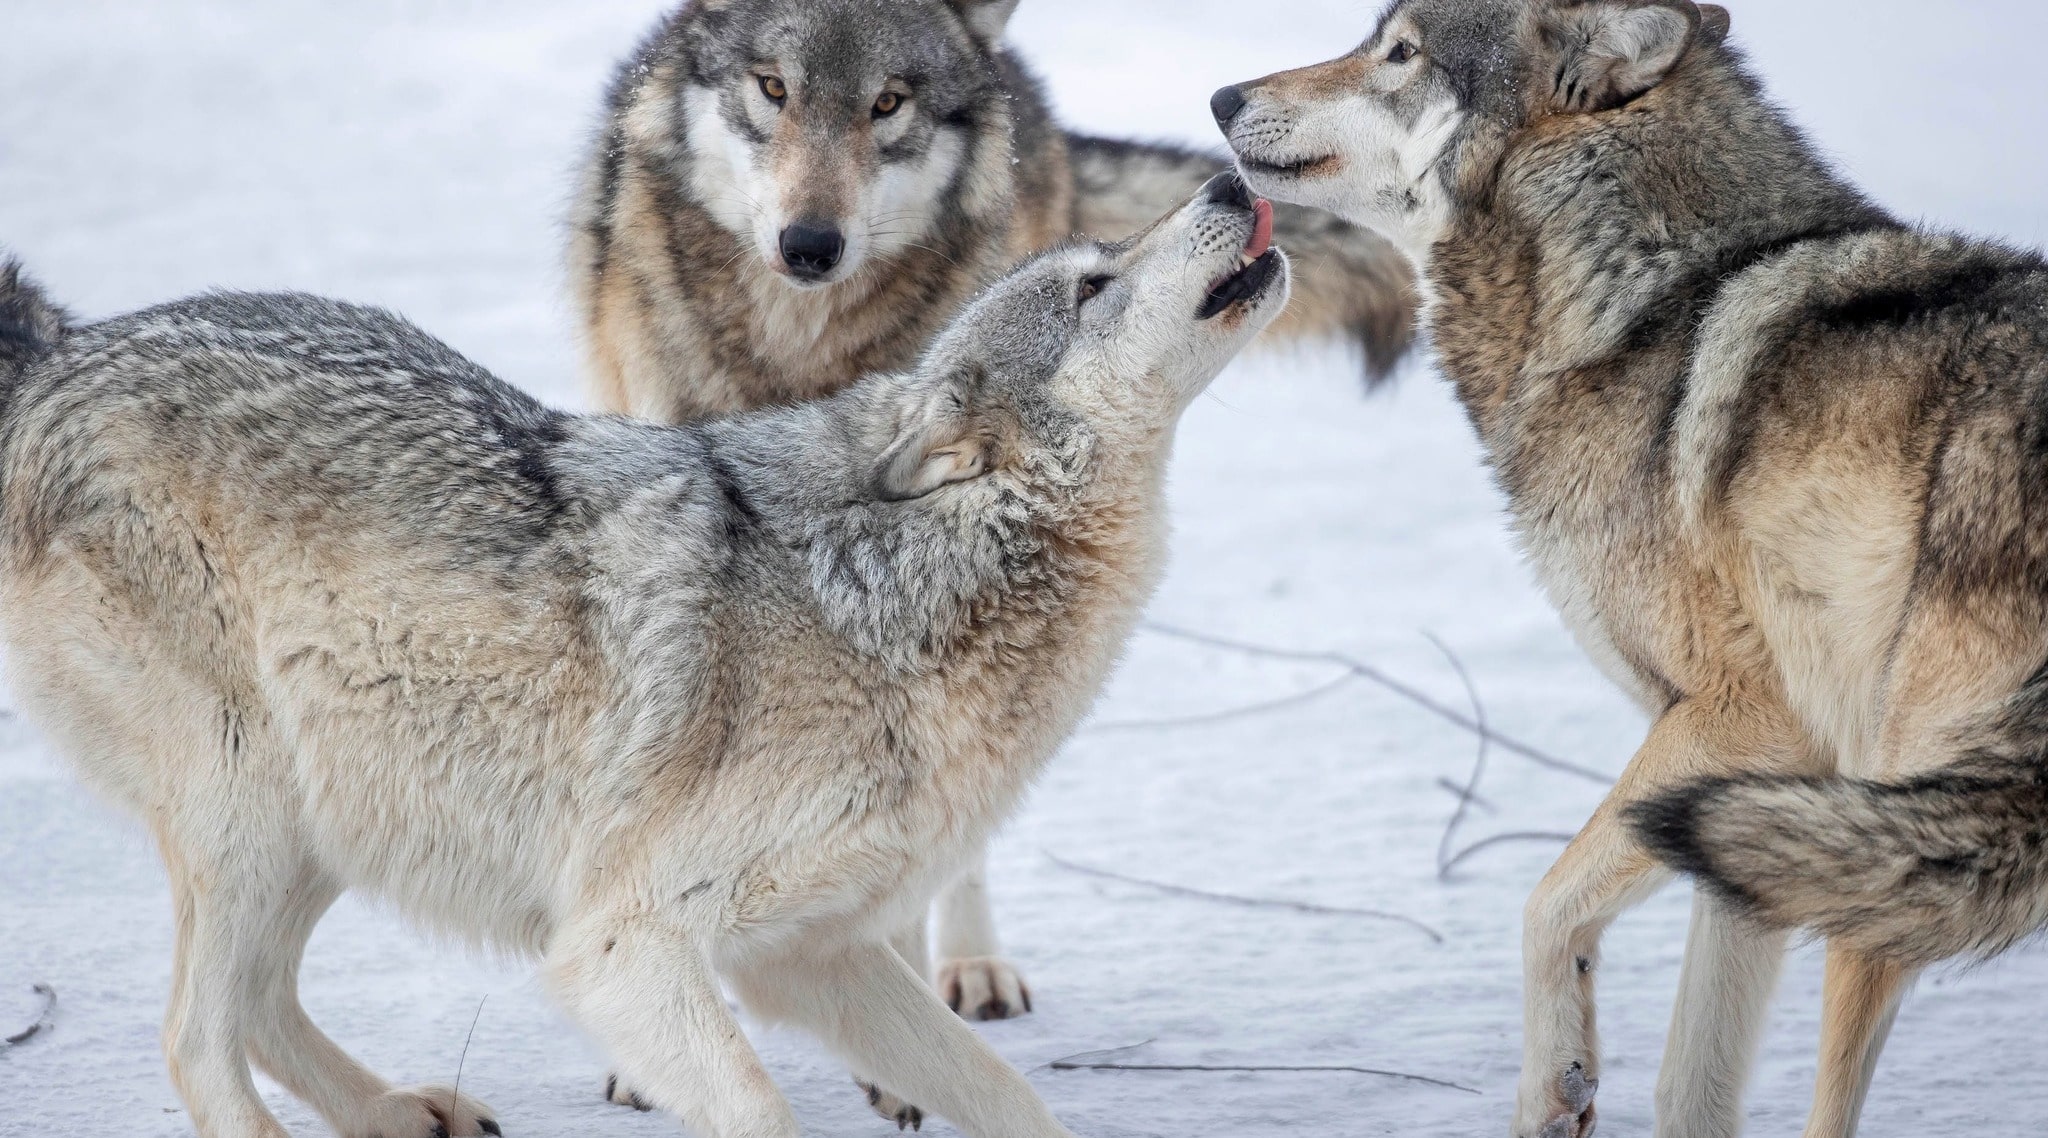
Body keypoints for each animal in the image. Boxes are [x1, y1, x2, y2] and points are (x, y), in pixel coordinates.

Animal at [0, 174, 1289, 1138]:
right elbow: (762, 1110)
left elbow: (1004, 1092)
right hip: (254, 814)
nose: (1229, 181)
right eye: (1092, 283)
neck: (891, 596)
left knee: (261, 1004)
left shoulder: (811, 955)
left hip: (334, 820)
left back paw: (395, 1110)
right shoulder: (623, 945)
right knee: (195, 1039)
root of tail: (64, 356)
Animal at [1216, 2, 2048, 1136]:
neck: (1641, 298)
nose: (1222, 98)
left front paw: (1551, 1084)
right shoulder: (1746, 815)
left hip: (1895, 839)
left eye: (1400, 51)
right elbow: (1690, 1082)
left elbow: (1542, 906)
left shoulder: (1745, 726)